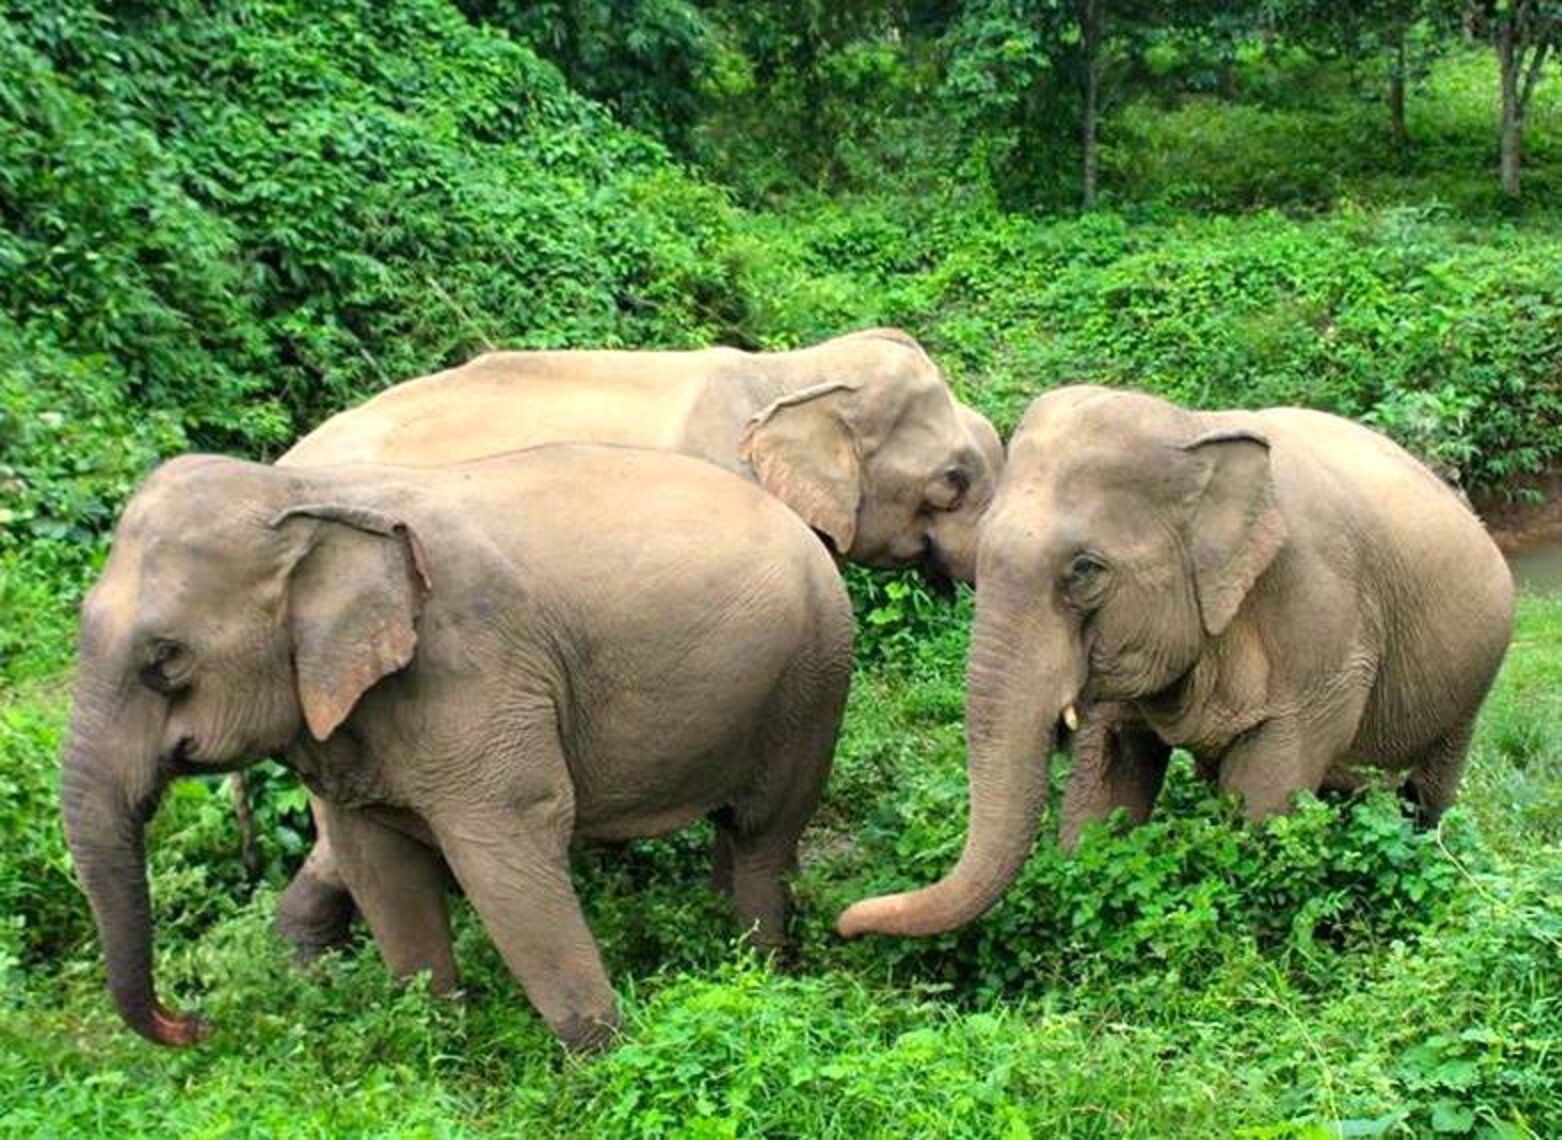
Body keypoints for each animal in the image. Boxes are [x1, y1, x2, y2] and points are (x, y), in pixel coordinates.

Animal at [60, 445, 853, 1051]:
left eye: (166, 660)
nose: (194, 1021)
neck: (310, 497)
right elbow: (376, 864)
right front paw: (439, 1043)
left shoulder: (476, 671)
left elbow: (503, 851)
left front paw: (601, 1064)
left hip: (810, 676)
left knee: (761, 830)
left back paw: (759, 970)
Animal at [837, 385, 1514, 940]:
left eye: (1084, 571)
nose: (845, 923)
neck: (1195, 428)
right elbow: (1110, 776)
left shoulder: (1324, 620)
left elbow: (1267, 790)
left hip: (1472, 688)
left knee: (1425, 796)